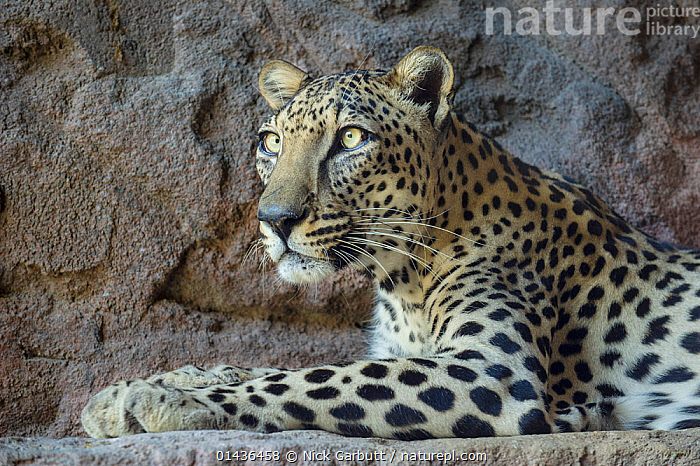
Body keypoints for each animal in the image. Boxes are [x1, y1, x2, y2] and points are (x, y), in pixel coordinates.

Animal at [82, 46, 700, 439]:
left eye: (351, 138)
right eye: (270, 142)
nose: (274, 219)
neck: (400, 278)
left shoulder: (490, 371)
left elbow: (317, 377)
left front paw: (160, 399)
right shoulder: (401, 351)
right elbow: (267, 365)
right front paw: (164, 379)